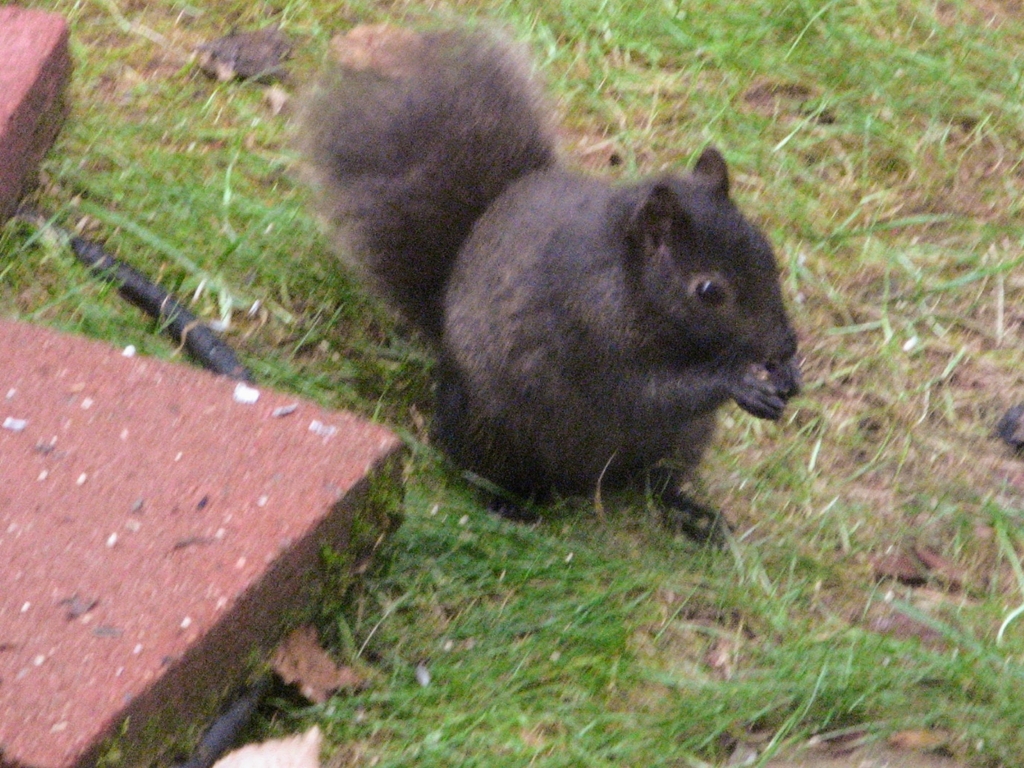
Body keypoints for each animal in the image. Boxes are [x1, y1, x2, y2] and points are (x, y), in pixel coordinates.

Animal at [299, 25, 801, 539]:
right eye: (709, 291)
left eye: (768, 252)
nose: (785, 345)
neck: (629, 285)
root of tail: (588, 483)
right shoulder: (591, 334)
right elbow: (651, 393)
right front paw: (738, 380)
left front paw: (785, 375)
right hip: (494, 430)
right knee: (483, 472)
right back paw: (511, 506)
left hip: (683, 441)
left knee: (656, 485)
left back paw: (691, 513)